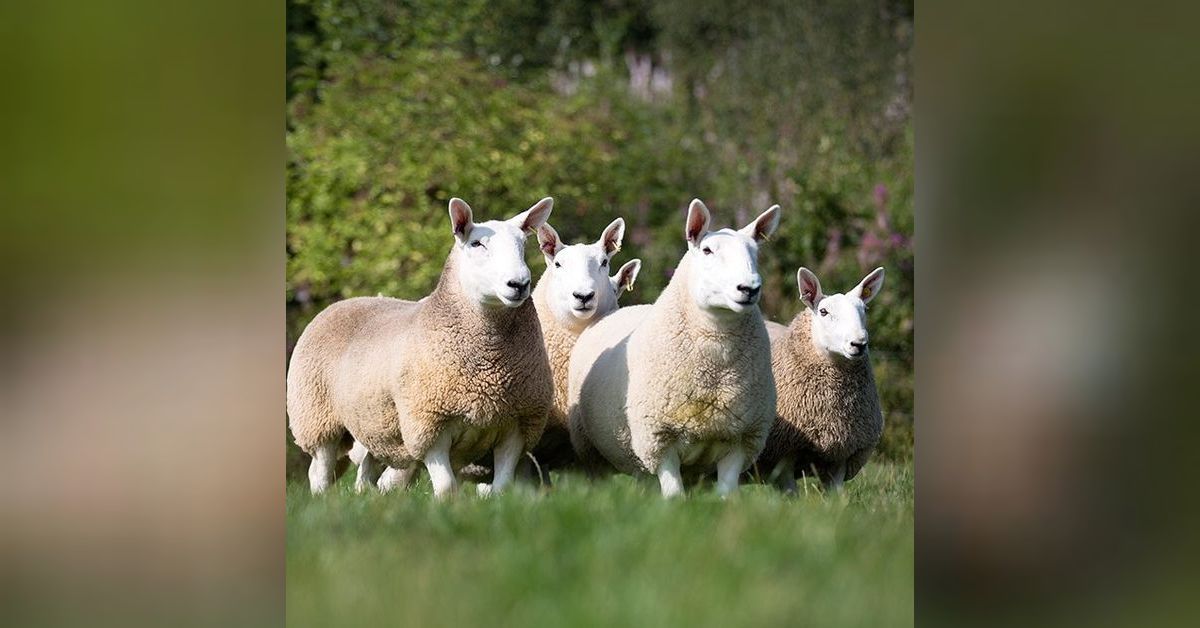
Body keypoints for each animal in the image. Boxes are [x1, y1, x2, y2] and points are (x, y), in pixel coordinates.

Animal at [287, 197, 555, 497]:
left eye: (523, 244)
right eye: (477, 244)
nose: (519, 284)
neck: (490, 366)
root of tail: (346, 301)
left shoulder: (517, 424)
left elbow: (502, 487)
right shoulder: (428, 425)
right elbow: (447, 485)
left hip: (374, 425)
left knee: (365, 473)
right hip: (317, 419)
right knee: (320, 471)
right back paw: (323, 498)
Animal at [566, 199, 781, 498]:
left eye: (755, 252)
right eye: (707, 250)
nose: (749, 288)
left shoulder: (741, 439)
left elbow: (725, 494)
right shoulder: (659, 439)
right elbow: (674, 495)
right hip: (590, 446)